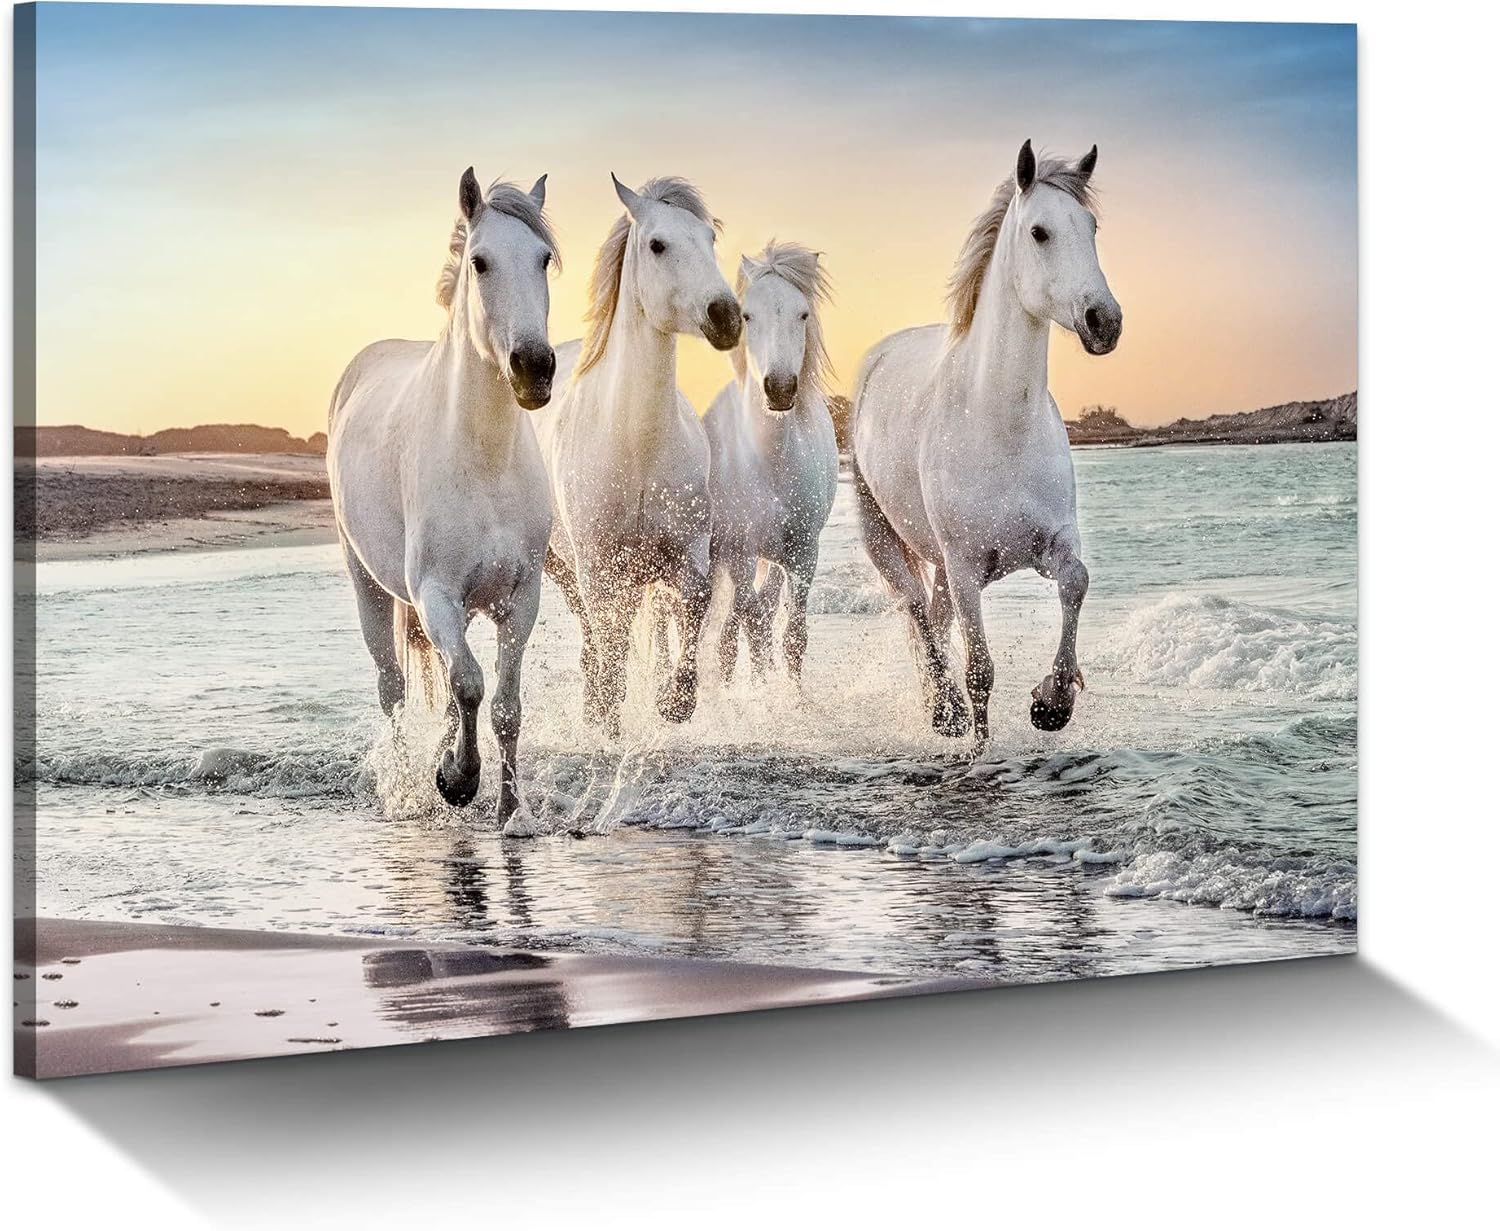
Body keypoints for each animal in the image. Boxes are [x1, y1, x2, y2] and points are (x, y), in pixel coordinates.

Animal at [327, 168, 559, 823]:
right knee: (393, 689)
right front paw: (458, 779)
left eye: (544, 258)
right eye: (480, 262)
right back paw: (408, 784)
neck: (483, 461)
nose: (534, 368)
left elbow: (503, 705)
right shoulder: (436, 595)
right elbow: (470, 685)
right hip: (370, 587)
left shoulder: (520, 598)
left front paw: (508, 811)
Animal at [534, 175, 741, 737]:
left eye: (710, 239)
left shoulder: (686, 555)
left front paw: (675, 702)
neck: (636, 448)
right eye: (657, 245)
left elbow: (694, 610)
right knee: (594, 634)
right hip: (563, 567)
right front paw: (607, 713)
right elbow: (611, 639)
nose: (726, 317)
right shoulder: (601, 568)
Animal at [703, 241, 839, 682]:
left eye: (803, 314)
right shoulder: (739, 551)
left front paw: (789, 696)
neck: (771, 461)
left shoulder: (803, 552)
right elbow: (748, 624)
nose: (779, 388)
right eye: (747, 316)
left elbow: (792, 637)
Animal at [851, 140, 1122, 743]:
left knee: (932, 616)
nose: (1105, 321)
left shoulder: (1051, 544)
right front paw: (979, 740)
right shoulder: (966, 567)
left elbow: (1077, 582)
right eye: (1040, 232)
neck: (1000, 426)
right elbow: (980, 670)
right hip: (887, 540)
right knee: (915, 611)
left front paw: (1052, 702)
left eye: (1092, 226)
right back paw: (943, 708)